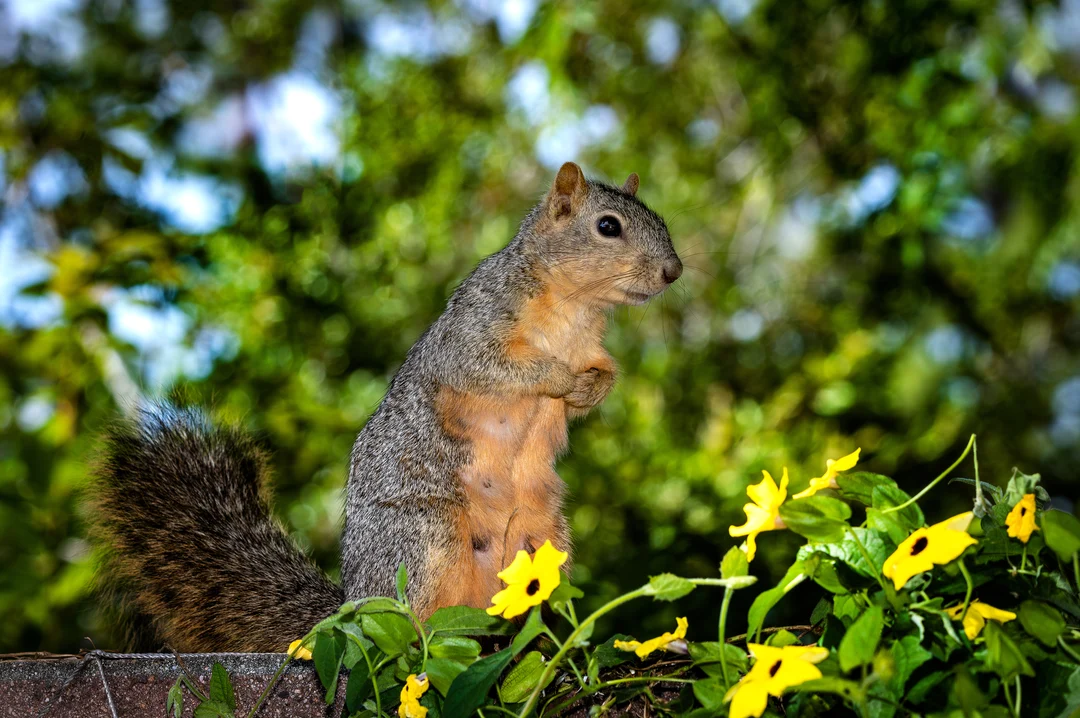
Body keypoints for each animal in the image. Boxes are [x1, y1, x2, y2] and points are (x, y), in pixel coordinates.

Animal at [90, 162, 682, 652]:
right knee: (407, 620)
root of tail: (351, 606)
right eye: (608, 226)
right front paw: (558, 378)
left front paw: (588, 390)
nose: (674, 271)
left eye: (659, 218)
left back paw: (533, 643)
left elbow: (602, 378)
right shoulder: (473, 329)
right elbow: (491, 367)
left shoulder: (593, 348)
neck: (576, 309)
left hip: (542, 540)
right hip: (424, 534)